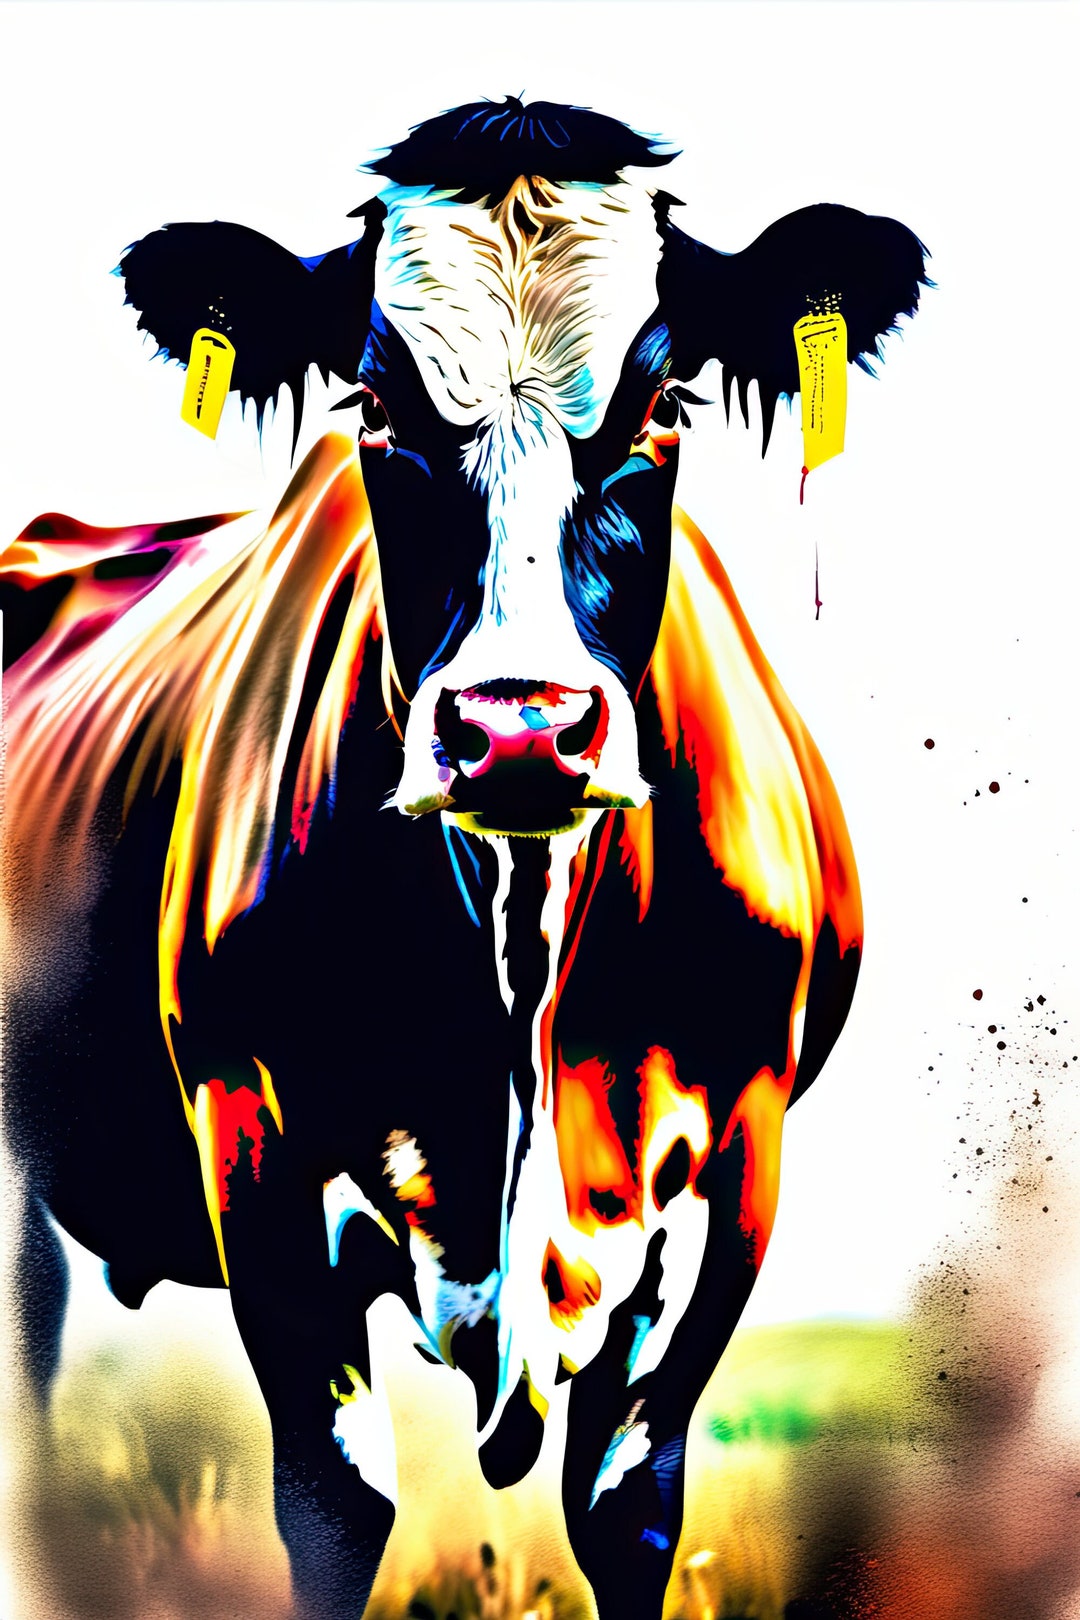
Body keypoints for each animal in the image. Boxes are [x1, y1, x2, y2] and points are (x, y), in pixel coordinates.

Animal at [0, 98, 927, 1620]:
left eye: (665, 407)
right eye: (375, 408)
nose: (518, 729)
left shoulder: (734, 1166)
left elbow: (628, 1507)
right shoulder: (256, 1148)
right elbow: (334, 1507)